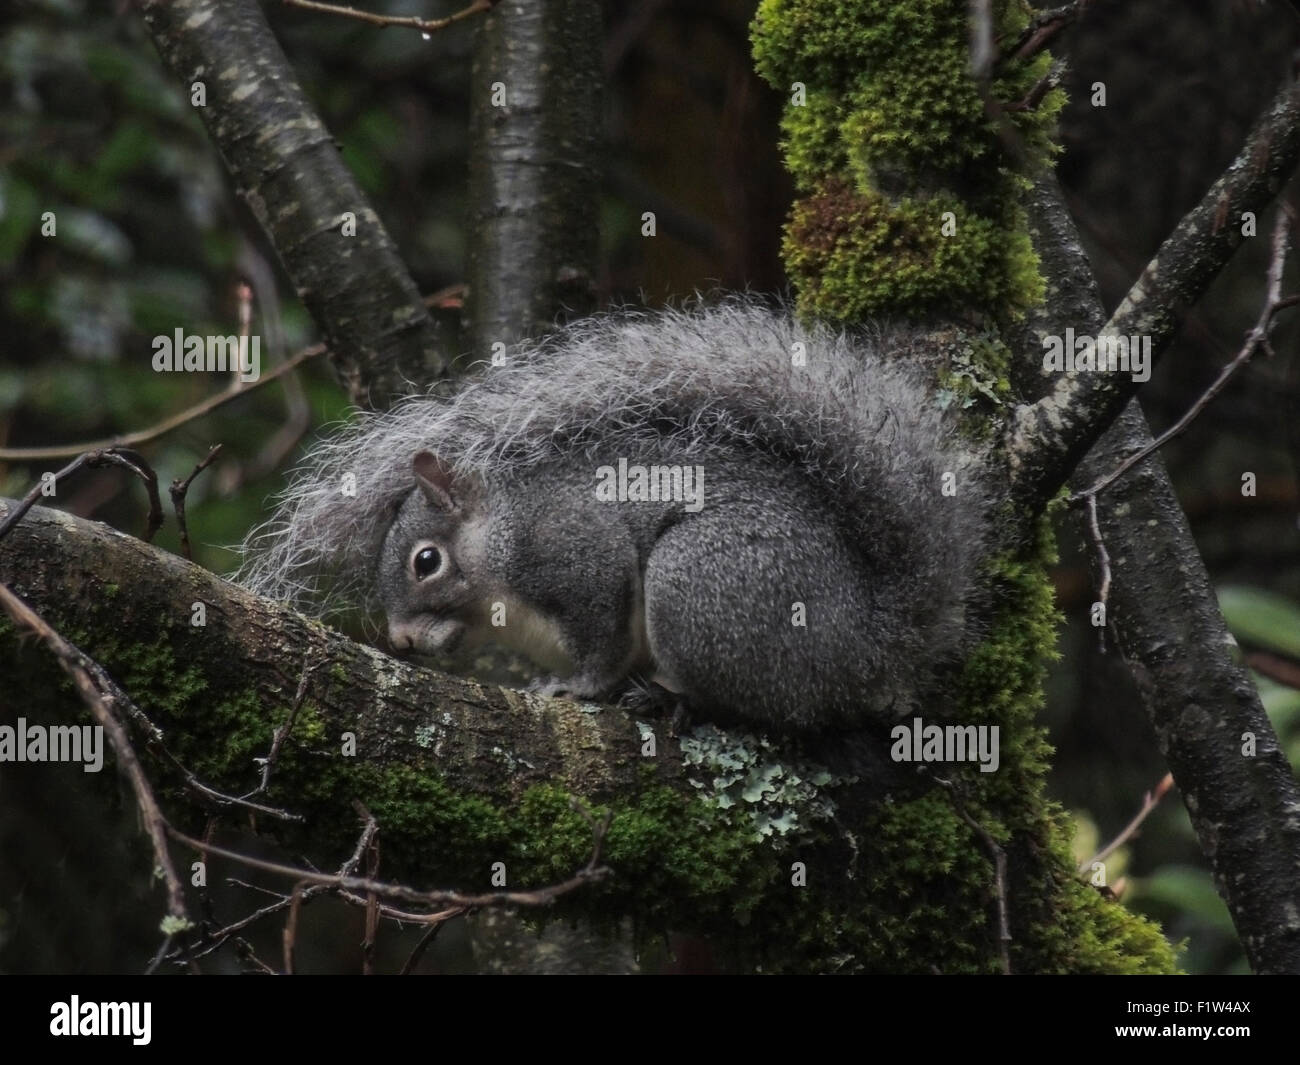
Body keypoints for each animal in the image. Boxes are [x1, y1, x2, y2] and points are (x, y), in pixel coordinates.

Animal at [238, 300, 988, 739]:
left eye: (427, 561)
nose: (399, 640)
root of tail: (869, 643)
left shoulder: (573, 554)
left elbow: (600, 638)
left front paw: (579, 687)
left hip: (704, 582)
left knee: (758, 704)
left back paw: (670, 698)